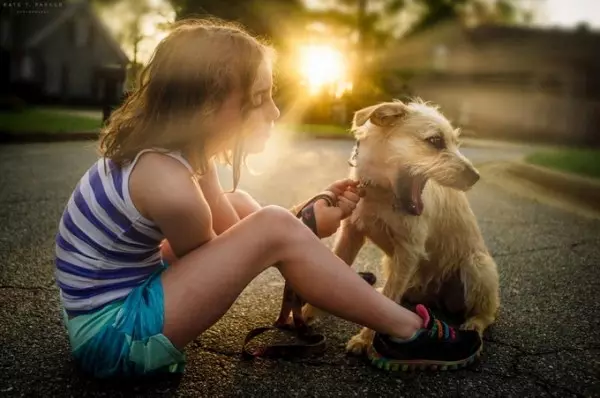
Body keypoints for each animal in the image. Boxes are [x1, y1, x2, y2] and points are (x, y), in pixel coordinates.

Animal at [302, 98, 500, 354]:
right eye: (435, 141)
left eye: (456, 142)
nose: (475, 177)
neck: (381, 193)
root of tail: (435, 295)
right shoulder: (351, 235)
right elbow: (338, 267)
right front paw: (307, 312)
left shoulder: (408, 251)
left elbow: (387, 302)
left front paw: (366, 340)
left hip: (477, 267)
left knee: (487, 313)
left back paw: (474, 323)